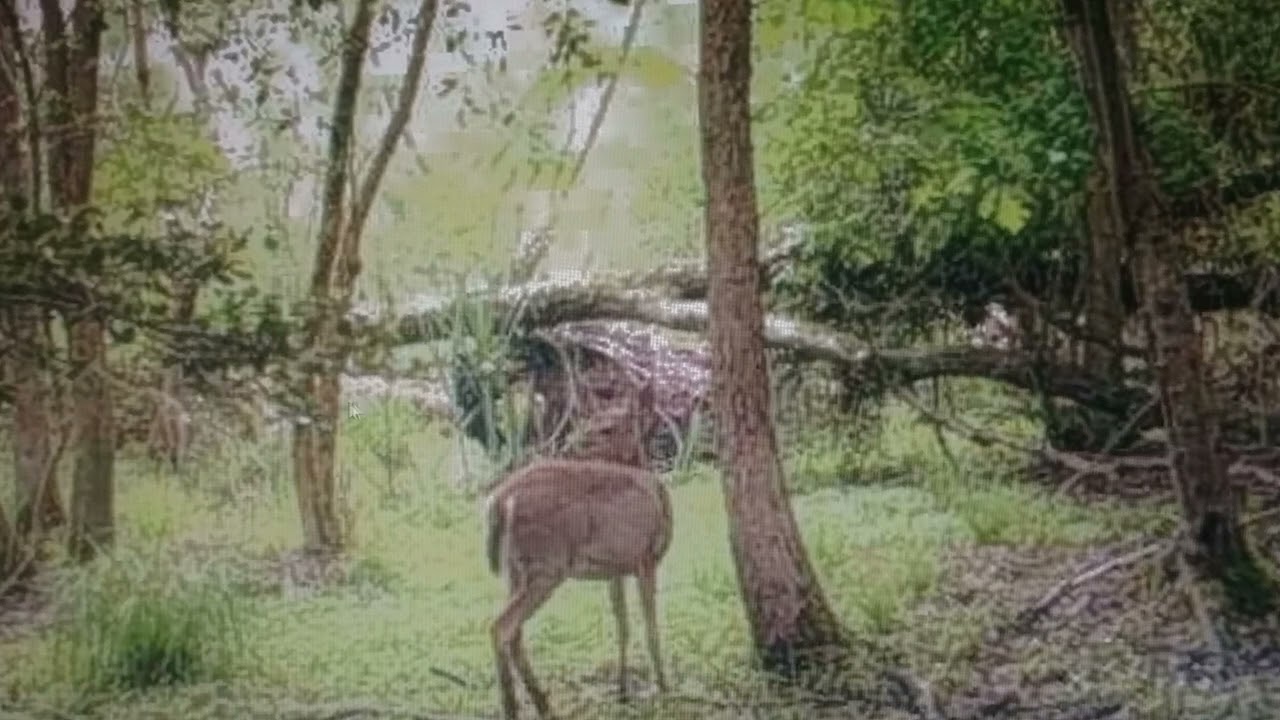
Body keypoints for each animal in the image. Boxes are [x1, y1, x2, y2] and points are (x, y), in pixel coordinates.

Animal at [483, 381, 672, 720]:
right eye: (586, 421)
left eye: (607, 427)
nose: (568, 446)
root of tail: (500, 501)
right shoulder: (645, 556)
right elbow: (651, 627)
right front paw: (663, 687)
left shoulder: (615, 569)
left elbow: (622, 624)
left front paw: (623, 690)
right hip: (547, 565)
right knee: (501, 628)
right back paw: (515, 708)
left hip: (515, 569)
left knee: (515, 633)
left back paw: (543, 704)